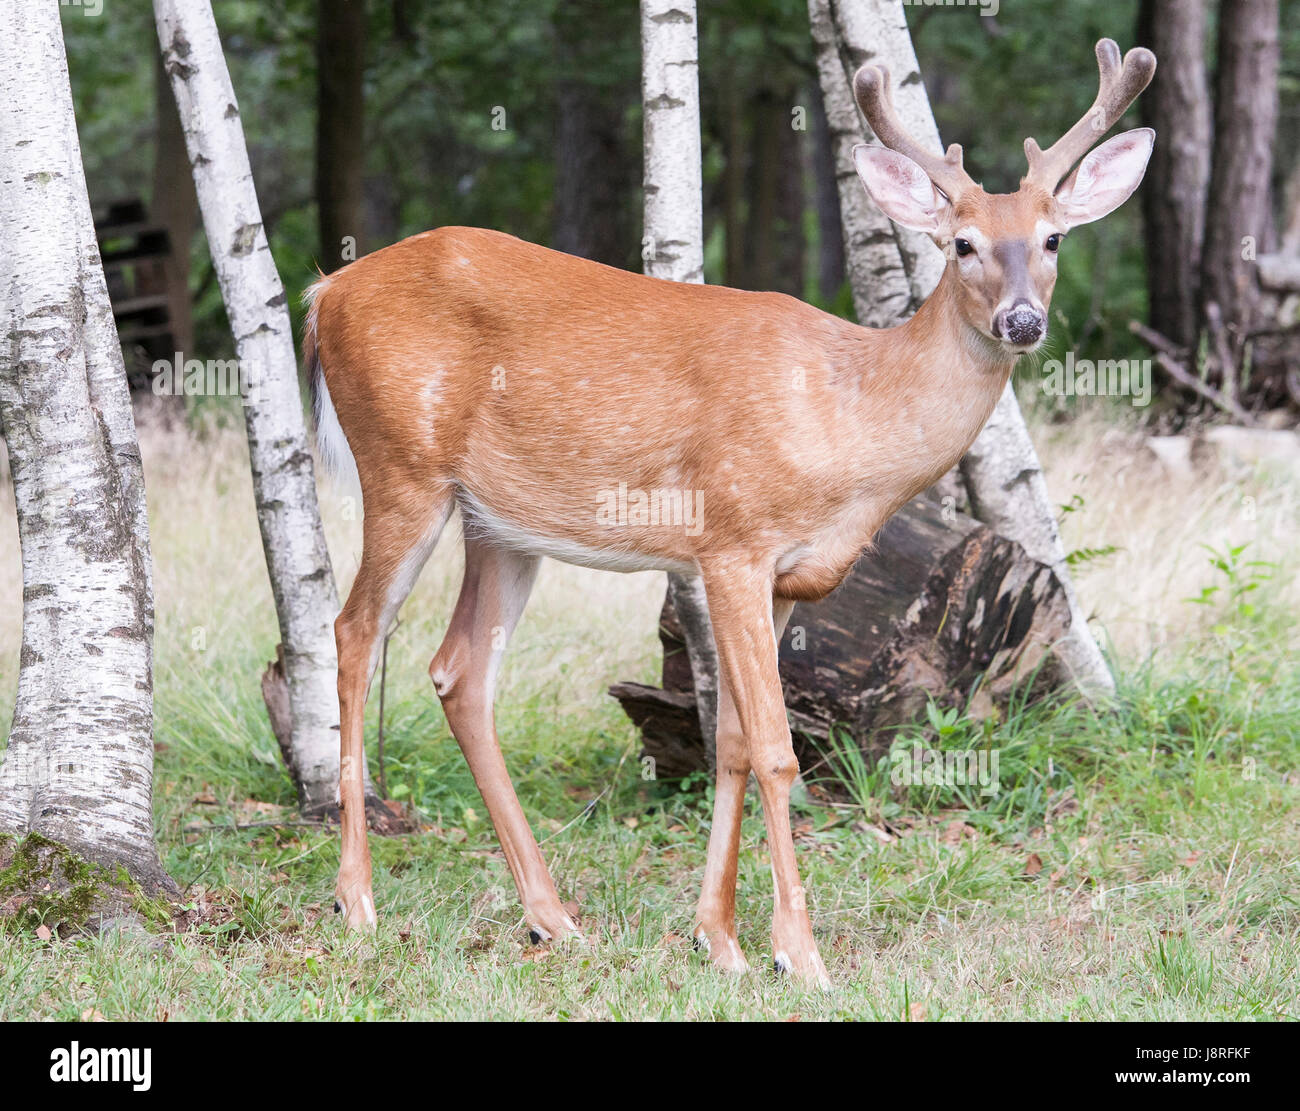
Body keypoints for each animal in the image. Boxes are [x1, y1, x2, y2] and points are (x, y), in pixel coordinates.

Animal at [305, 38, 1155, 986]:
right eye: (963, 243)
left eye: (1052, 237)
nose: (1022, 320)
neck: (850, 417)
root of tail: (325, 293)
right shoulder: (734, 539)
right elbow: (780, 748)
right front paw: (800, 951)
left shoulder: (784, 575)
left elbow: (736, 742)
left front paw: (719, 938)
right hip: (401, 468)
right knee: (351, 630)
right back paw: (358, 900)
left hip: (499, 522)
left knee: (460, 672)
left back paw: (551, 917)